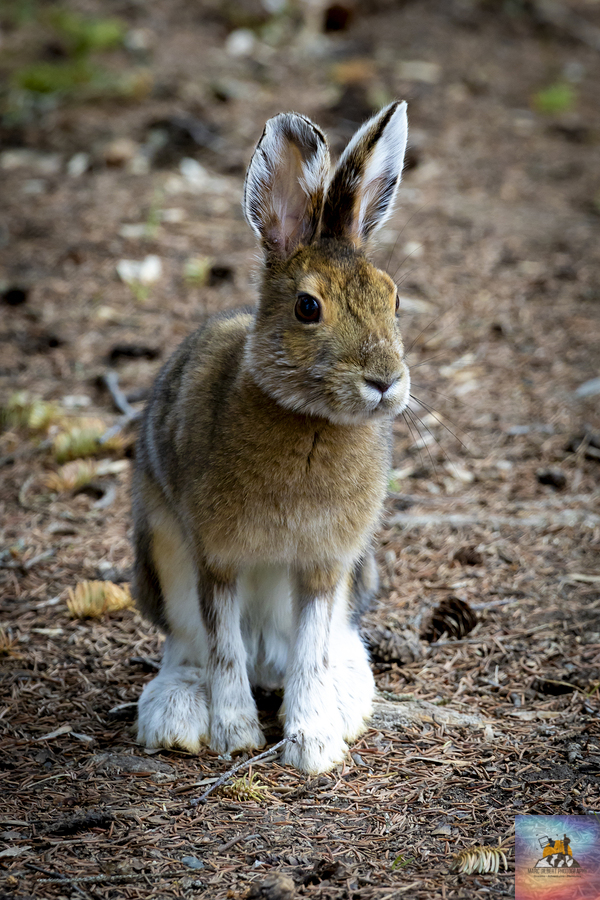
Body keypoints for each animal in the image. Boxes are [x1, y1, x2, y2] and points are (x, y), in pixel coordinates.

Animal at [132, 101, 410, 774]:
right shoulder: (216, 556)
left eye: (394, 300)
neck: (309, 421)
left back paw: (345, 699)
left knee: (327, 644)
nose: (385, 381)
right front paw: (235, 734)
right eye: (308, 308)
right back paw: (177, 714)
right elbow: (224, 647)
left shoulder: (324, 565)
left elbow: (310, 651)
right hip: (162, 558)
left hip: (357, 576)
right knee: (192, 646)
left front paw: (313, 746)